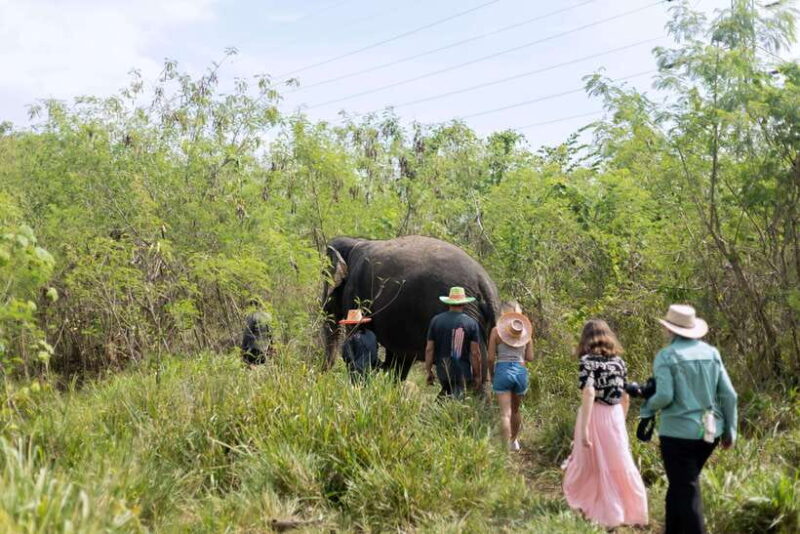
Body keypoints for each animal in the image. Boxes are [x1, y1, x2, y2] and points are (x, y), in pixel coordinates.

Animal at [321, 235, 500, 381]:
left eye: (325, 278)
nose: (323, 378)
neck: (355, 242)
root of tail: (484, 283)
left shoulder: (356, 293)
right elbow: (401, 358)